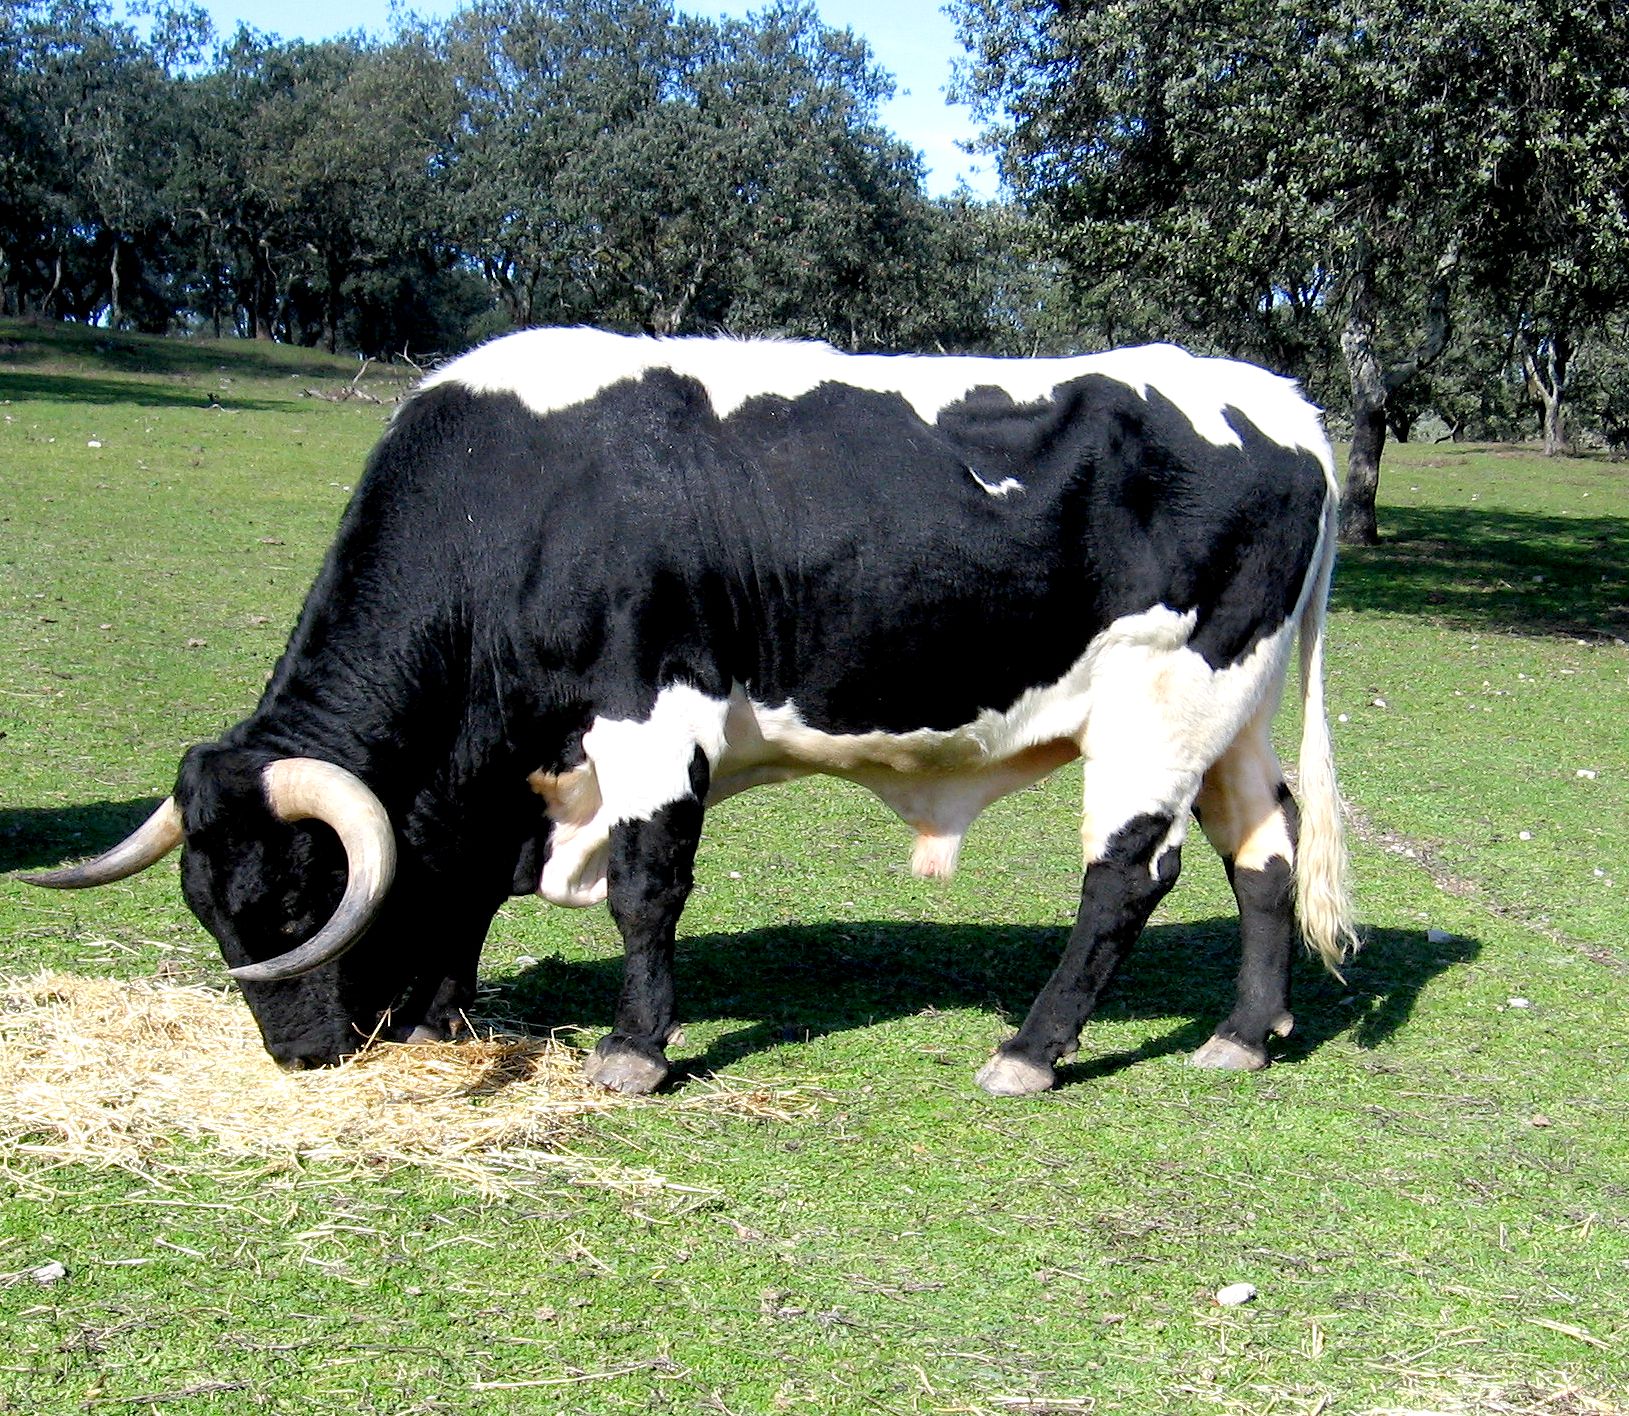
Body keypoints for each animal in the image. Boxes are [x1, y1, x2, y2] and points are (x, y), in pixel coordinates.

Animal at [26, 328, 1357, 1095]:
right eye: (210, 909)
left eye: (298, 902)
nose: (297, 1054)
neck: (514, 504)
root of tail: (1281, 403)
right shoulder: (509, 767)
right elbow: (464, 881)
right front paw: (443, 1017)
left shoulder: (649, 717)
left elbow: (644, 890)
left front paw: (633, 1050)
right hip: (1232, 716)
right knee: (1263, 852)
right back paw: (1244, 1033)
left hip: (1161, 709)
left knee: (1126, 877)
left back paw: (1030, 1051)